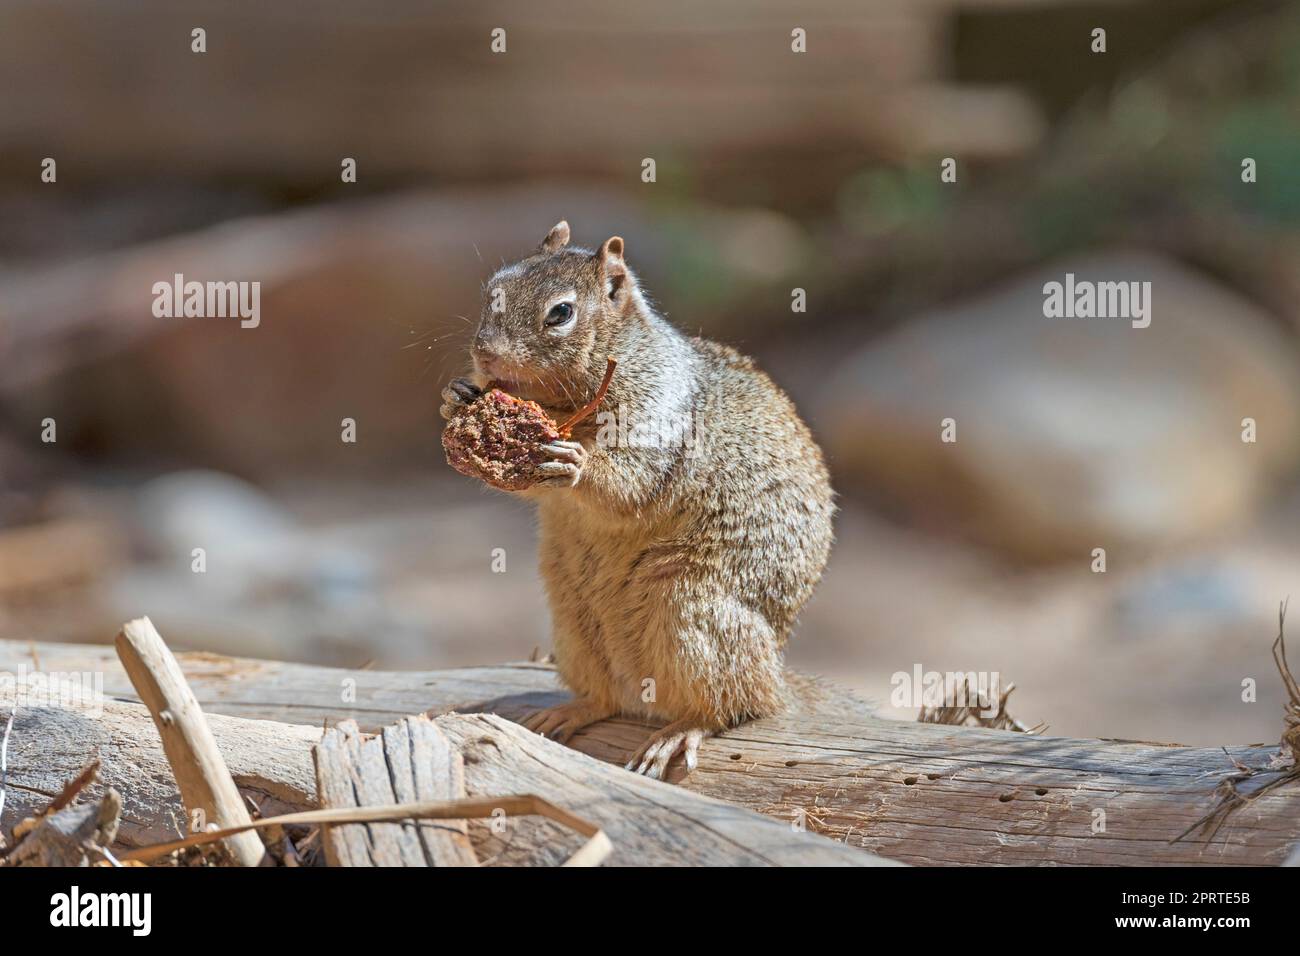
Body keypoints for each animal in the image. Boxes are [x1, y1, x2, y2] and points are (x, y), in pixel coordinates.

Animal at [440, 221, 834, 778]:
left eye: (561, 313)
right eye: (494, 287)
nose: (485, 355)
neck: (563, 403)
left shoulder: (659, 417)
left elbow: (633, 483)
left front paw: (578, 465)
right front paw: (457, 395)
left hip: (692, 615)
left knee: (738, 706)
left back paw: (680, 732)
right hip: (573, 621)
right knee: (607, 698)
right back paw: (570, 711)